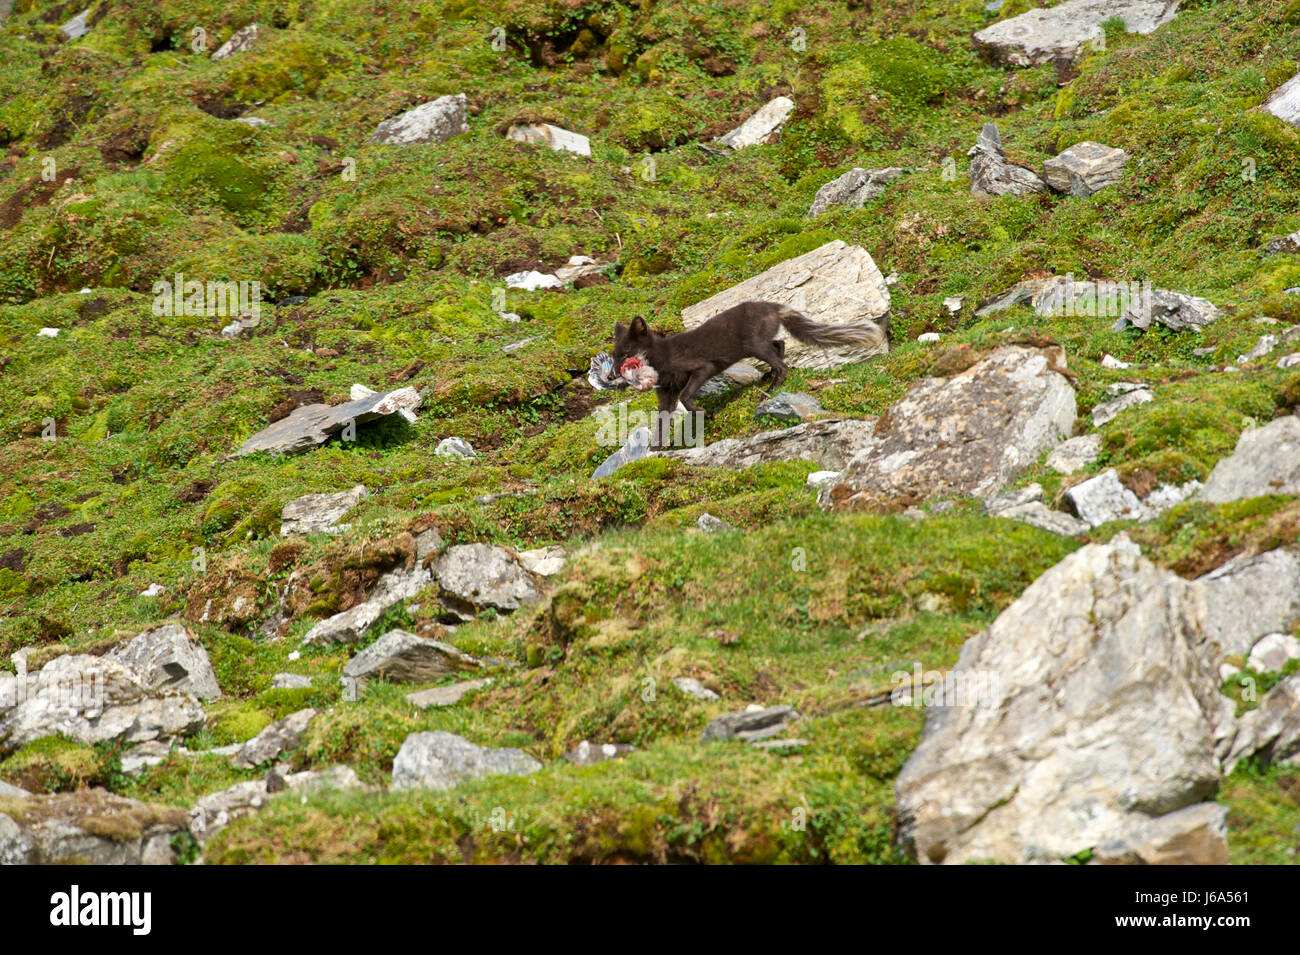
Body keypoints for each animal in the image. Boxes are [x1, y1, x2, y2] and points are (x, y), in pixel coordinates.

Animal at [612, 300, 888, 446]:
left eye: (626, 354)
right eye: (614, 355)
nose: (613, 373)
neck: (663, 359)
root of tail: (773, 306)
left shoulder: (702, 367)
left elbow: (687, 396)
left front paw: (702, 412)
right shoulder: (665, 393)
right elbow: (662, 419)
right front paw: (656, 450)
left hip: (753, 345)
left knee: (782, 364)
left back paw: (770, 390)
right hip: (759, 345)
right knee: (780, 345)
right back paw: (768, 378)